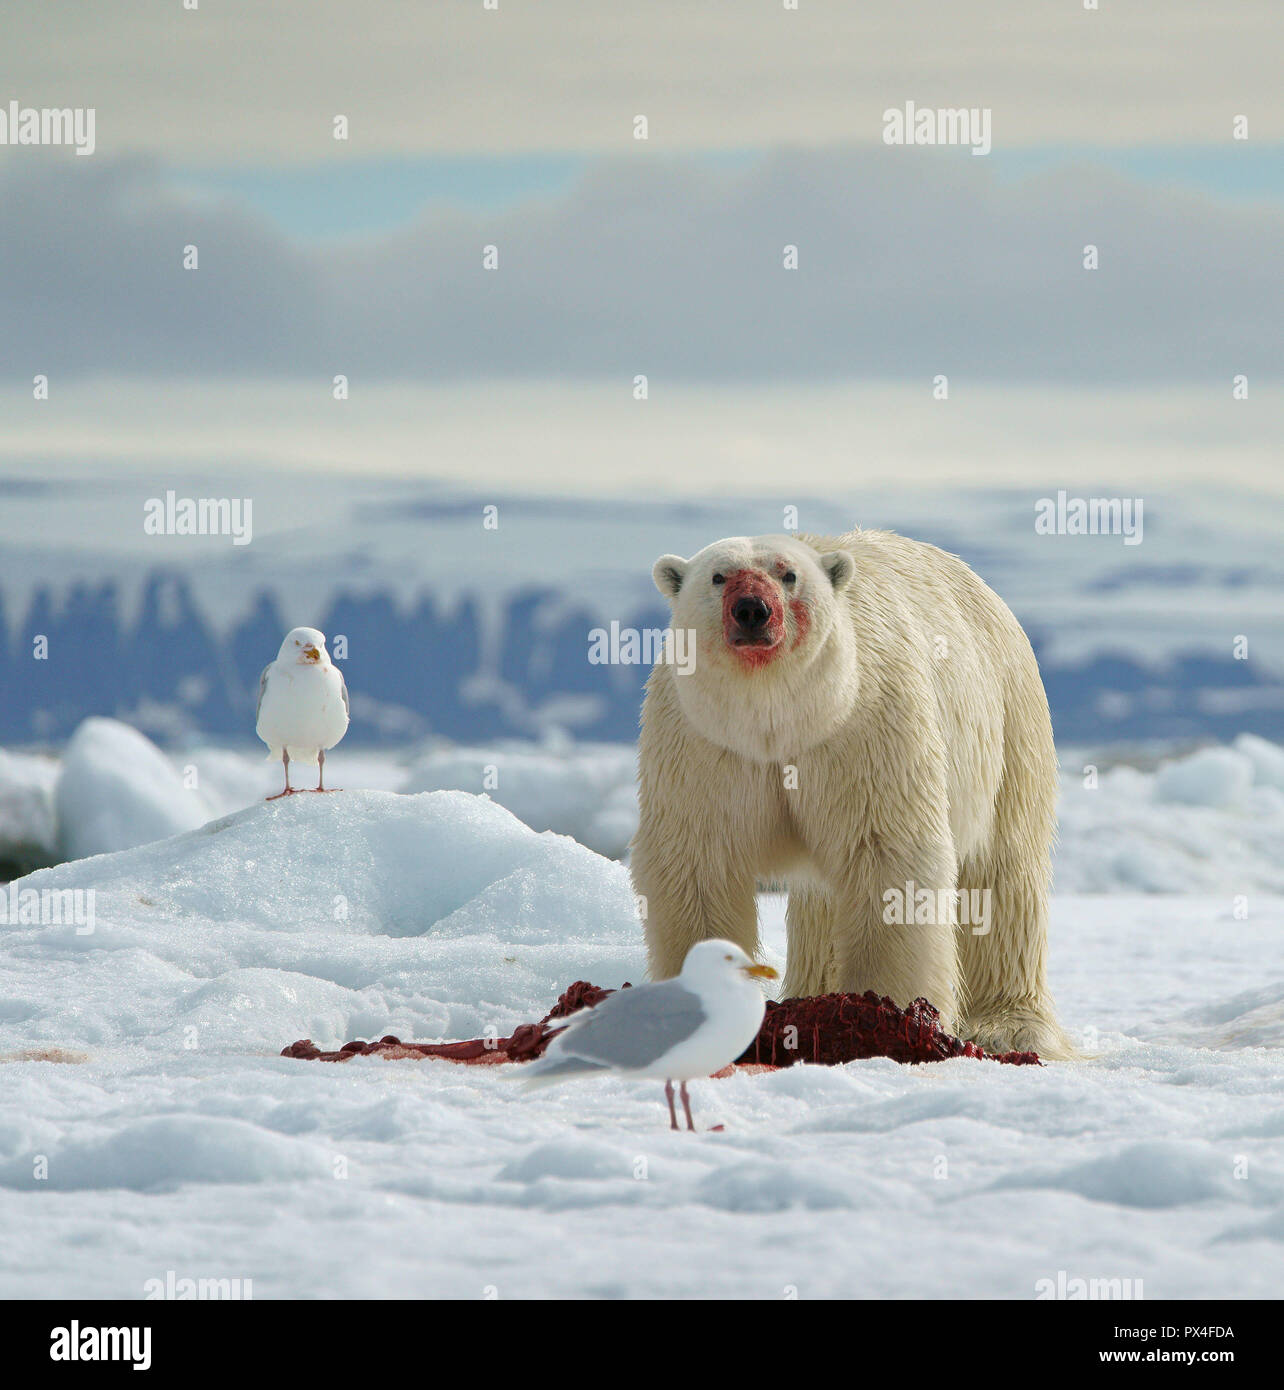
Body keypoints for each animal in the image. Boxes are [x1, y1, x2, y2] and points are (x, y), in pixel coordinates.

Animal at [630, 529, 1074, 1060]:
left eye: (788, 574)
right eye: (719, 576)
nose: (752, 610)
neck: (775, 717)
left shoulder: (863, 727)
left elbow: (887, 857)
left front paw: (887, 1013)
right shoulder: (704, 744)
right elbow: (698, 861)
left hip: (1010, 725)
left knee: (1002, 875)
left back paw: (1007, 1026)